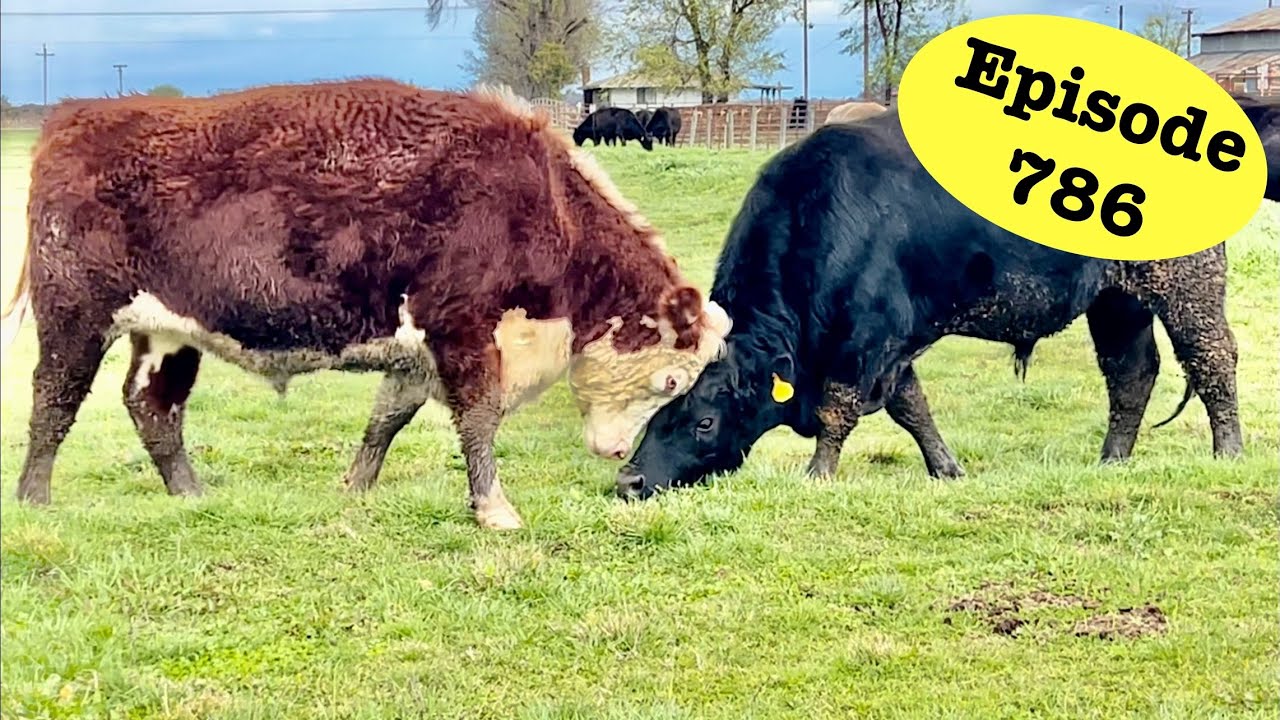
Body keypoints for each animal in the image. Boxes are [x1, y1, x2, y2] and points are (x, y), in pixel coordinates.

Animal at [0, 79, 731, 529]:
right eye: (670, 380)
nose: (618, 455)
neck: (538, 199)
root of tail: (76, 116)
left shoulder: (415, 352)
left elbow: (386, 420)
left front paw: (354, 488)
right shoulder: (463, 329)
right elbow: (479, 421)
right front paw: (495, 510)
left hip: (169, 333)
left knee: (154, 406)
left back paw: (190, 494)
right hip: (75, 318)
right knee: (54, 401)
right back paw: (35, 499)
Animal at [615, 108, 1249, 500]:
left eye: (703, 421)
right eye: (656, 410)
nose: (630, 482)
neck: (816, 221)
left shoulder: (864, 342)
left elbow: (839, 413)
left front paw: (818, 473)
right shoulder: (890, 351)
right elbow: (912, 408)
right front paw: (946, 468)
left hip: (1188, 287)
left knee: (1213, 360)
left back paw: (1229, 451)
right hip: (1117, 301)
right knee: (1131, 374)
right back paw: (1112, 459)